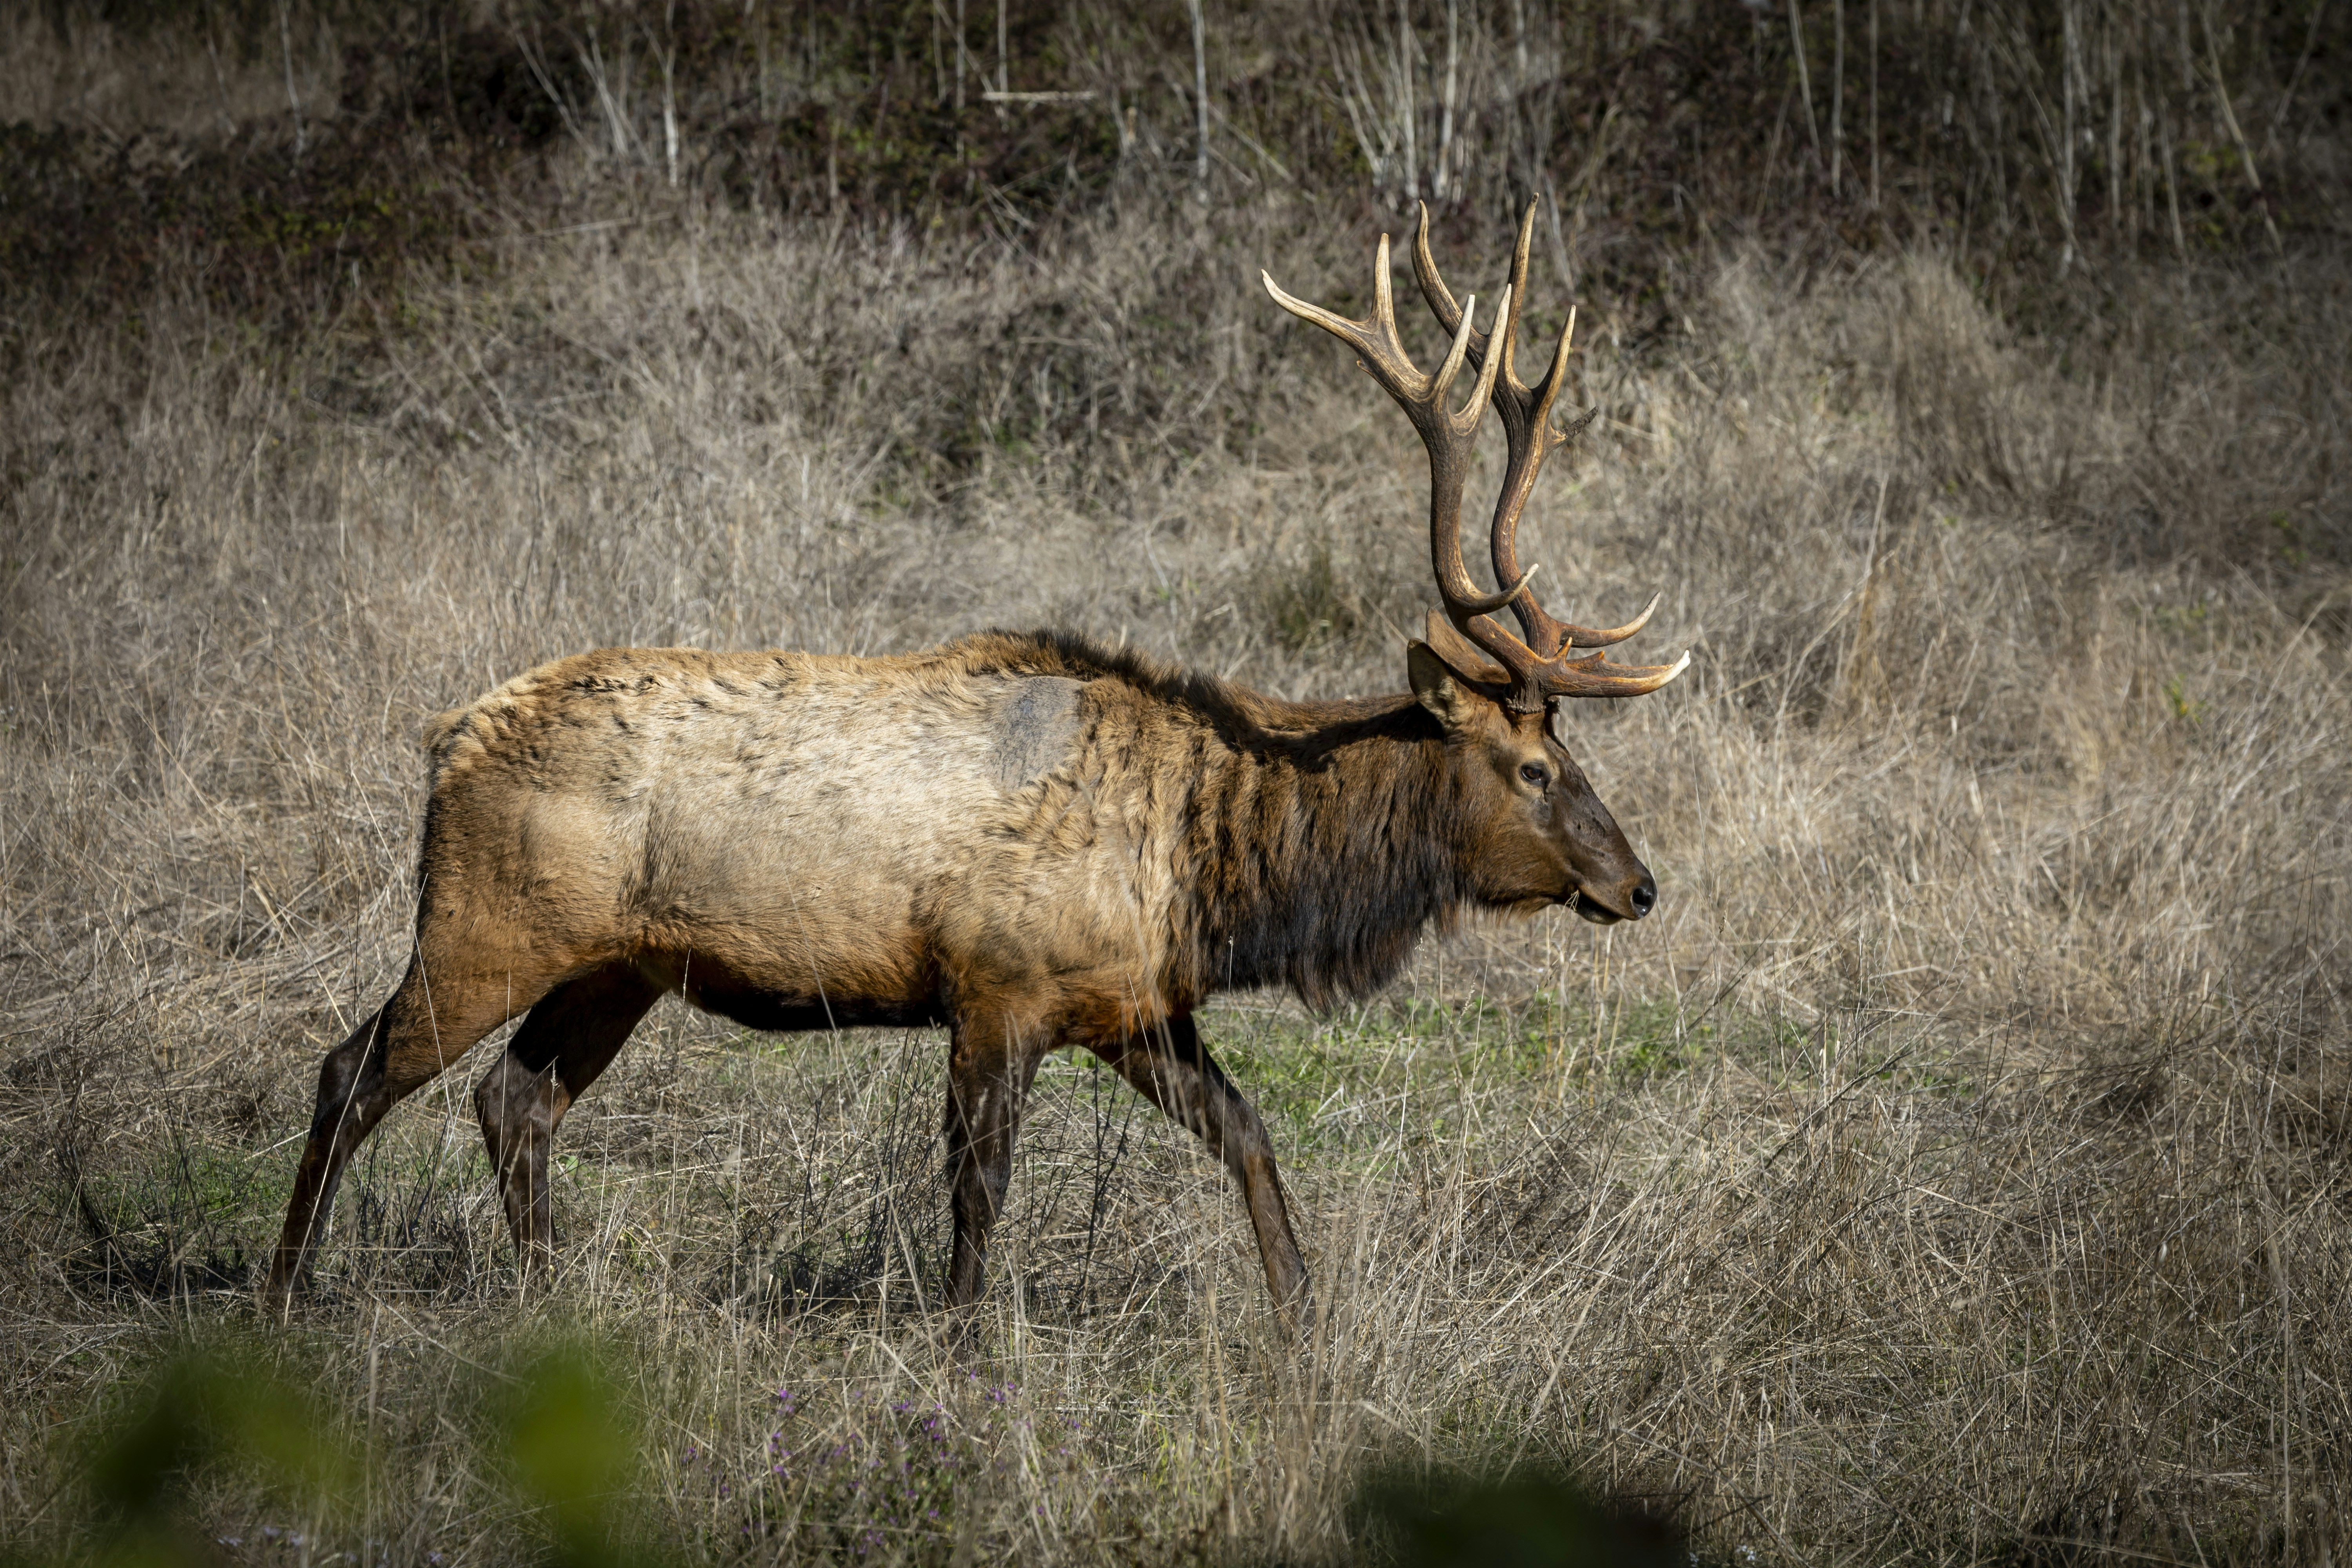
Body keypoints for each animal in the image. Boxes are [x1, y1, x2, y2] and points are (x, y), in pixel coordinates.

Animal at [263, 203, 1688, 1327]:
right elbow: (979, 1190)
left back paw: (548, 1303)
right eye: (1534, 768)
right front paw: (959, 1347)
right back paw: (281, 1295)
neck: (1216, 872)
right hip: (486, 925)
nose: (1639, 887)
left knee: (516, 1104)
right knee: (353, 1073)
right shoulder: (998, 989)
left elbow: (1244, 1132)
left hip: (618, 966)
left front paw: (1303, 1316)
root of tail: (448, 737)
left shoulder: (1131, 1004)